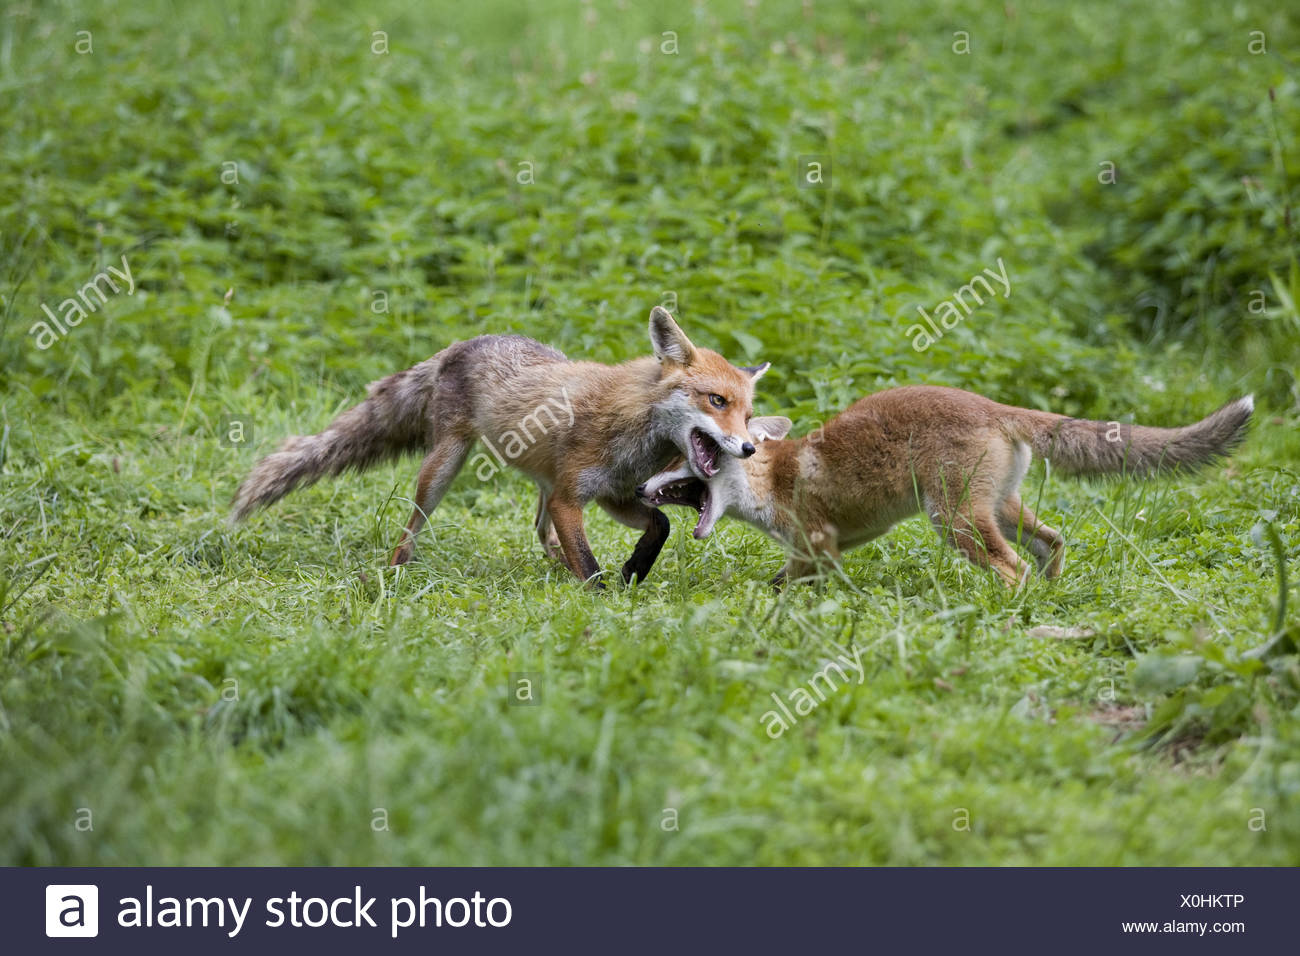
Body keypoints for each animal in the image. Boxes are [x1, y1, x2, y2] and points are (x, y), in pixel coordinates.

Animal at [231, 307, 771, 586]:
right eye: (716, 400)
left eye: (747, 415)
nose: (748, 448)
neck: (633, 427)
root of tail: (459, 344)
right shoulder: (572, 497)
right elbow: (591, 565)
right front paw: (604, 598)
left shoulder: (612, 495)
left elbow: (658, 524)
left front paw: (634, 569)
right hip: (443, 466)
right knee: (410, 528)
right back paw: (395, 575)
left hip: (541, 482)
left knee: (540, 530)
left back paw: (554, 565)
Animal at [636, 385, 1254, 587]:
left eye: (686, 460)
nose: (640, 489)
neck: (775, 480)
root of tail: (993, 406)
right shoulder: (820, 551)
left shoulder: (816, 547)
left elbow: (783, 589)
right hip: (998, 509)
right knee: (1052, 542)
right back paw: (1054, 597)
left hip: (953, 520)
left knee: (1013, 569)